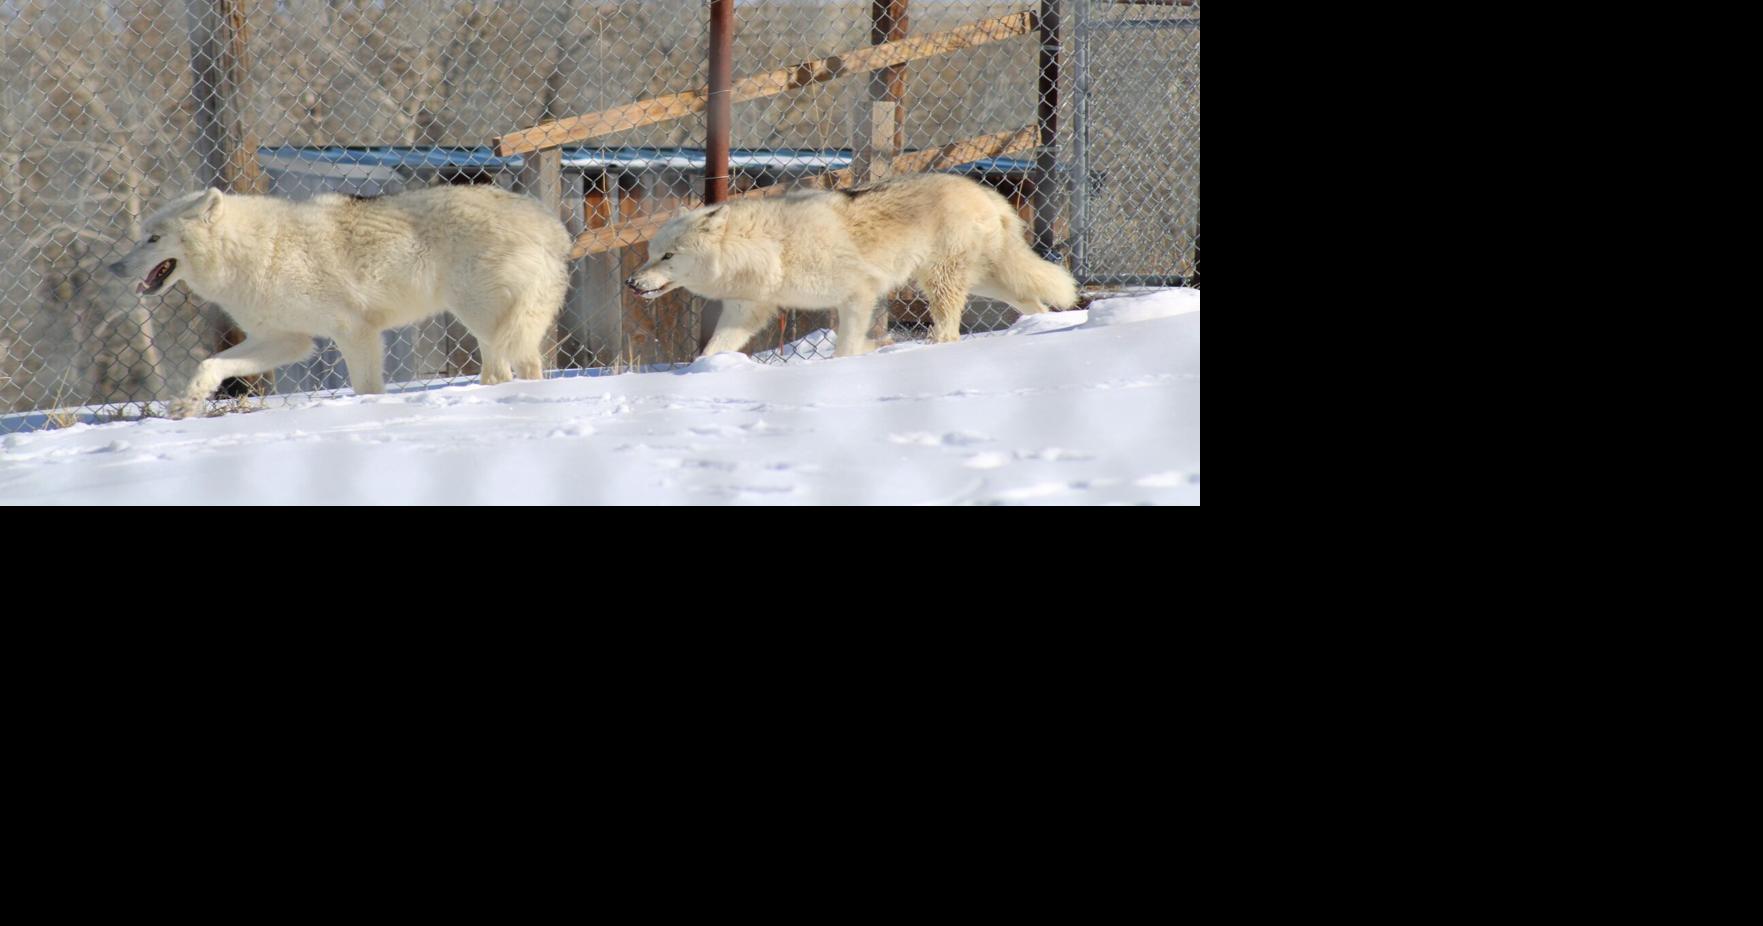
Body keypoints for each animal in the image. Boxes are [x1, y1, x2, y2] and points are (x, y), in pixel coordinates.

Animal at [109, 185, 570, 418]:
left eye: (153, 239)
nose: (114, 267)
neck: (260, 250)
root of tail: (549, 223)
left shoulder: (354, 332)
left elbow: (367, 388)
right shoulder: (290, 341)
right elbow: (210, 364)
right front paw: (187, 404)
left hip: (482, 318)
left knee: (517, 369)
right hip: (488, 326)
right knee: (515, 370)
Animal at [625, 172, 1078, 357]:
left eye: (668, 256)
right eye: (650, 254)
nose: (631, 283)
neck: (771, 247)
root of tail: (987, 193)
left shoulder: (860, 293)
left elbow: (844, 349)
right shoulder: (746, 311)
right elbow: (709, 353)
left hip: (942, 282)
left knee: (950, 333)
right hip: (982, 282)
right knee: (1033, 300)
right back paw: (1041, 328)